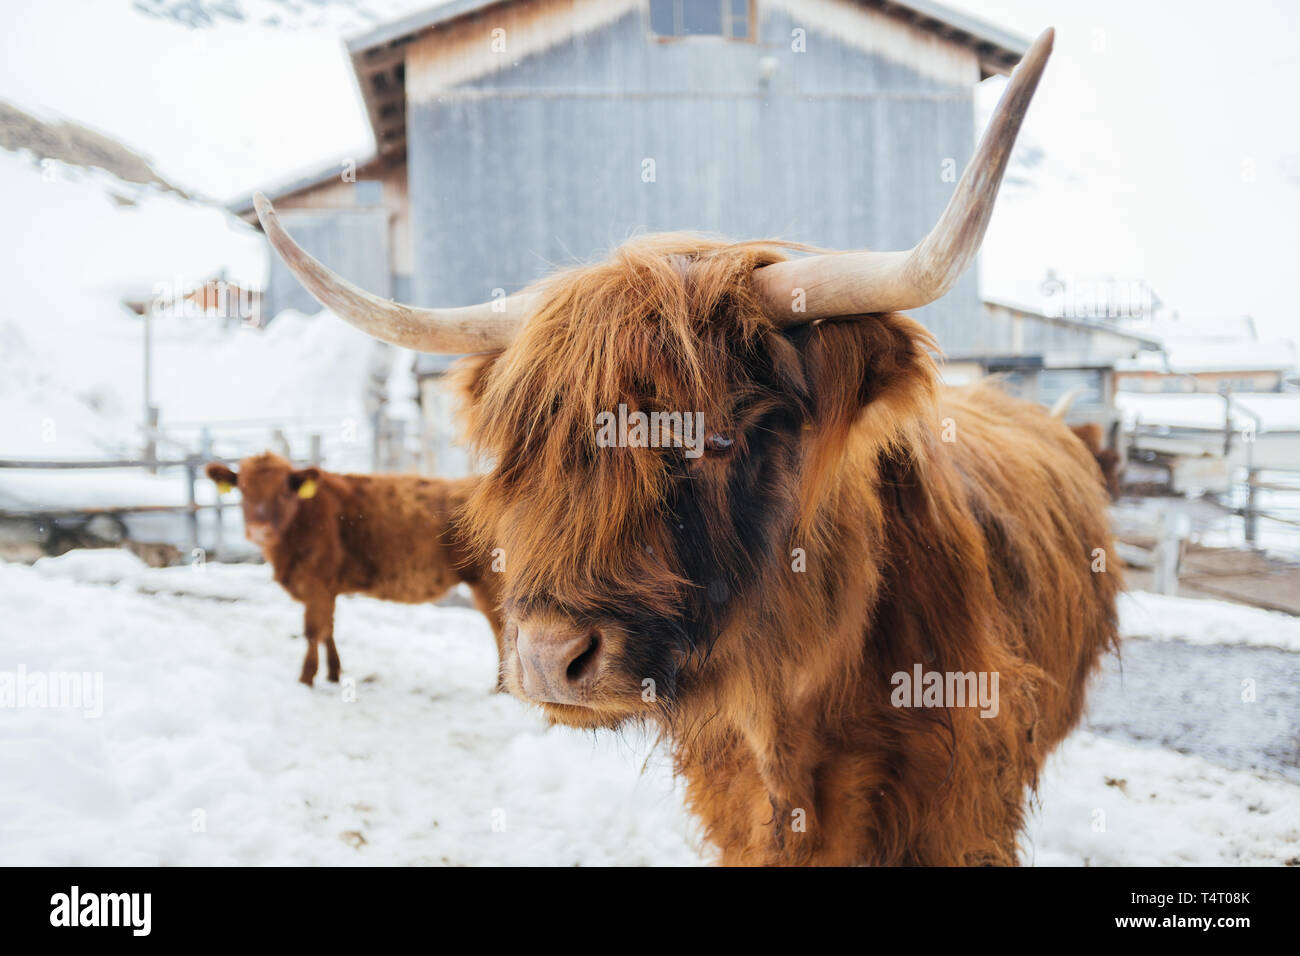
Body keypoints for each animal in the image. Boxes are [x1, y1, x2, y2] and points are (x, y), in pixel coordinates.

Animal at [205, 454, 504, 688]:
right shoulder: (327, 588)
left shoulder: (316, 583)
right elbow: (327, 629)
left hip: (490, 584)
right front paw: (333, 673)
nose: (259, 531)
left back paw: (501, 688)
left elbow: (312, 630)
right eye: (243, 490)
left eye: (284, 491)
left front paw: (306, 678)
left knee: (501, 629)